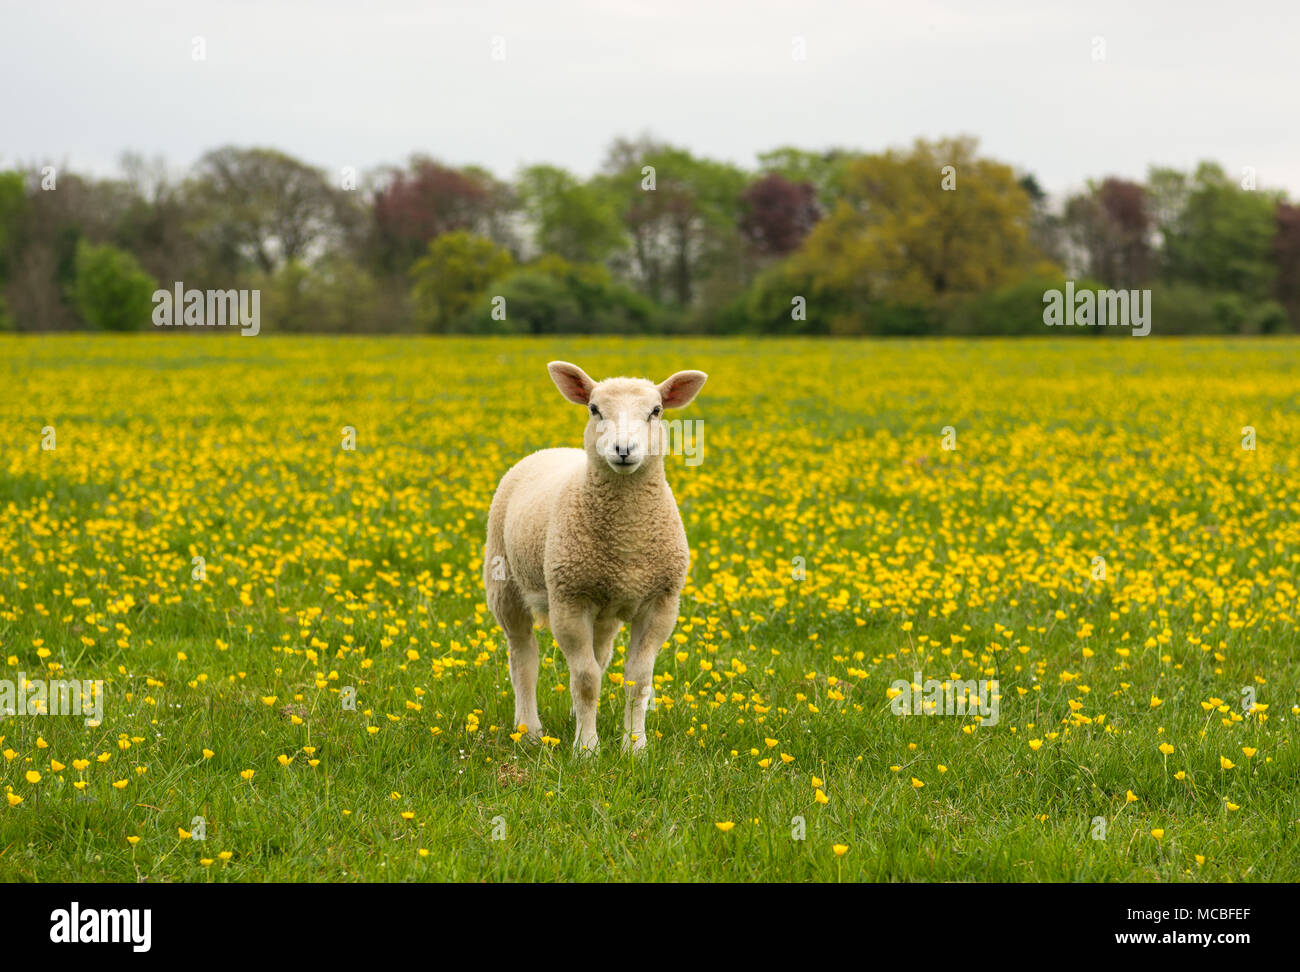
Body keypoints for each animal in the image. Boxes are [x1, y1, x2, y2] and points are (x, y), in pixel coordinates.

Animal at [483, 360, 707, 754]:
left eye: (656, 411)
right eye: (594, 409)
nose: (623, 449)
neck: (628, 538)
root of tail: (552, 449)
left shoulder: (661, 603)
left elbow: (637, 679)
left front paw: (635, 747)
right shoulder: (570, 599)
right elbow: (586, 679)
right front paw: (587, 749)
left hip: (605, 608)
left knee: (599, 655)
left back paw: (575, 716)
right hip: (505, 582)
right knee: (523, 656)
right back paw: (529, 728)